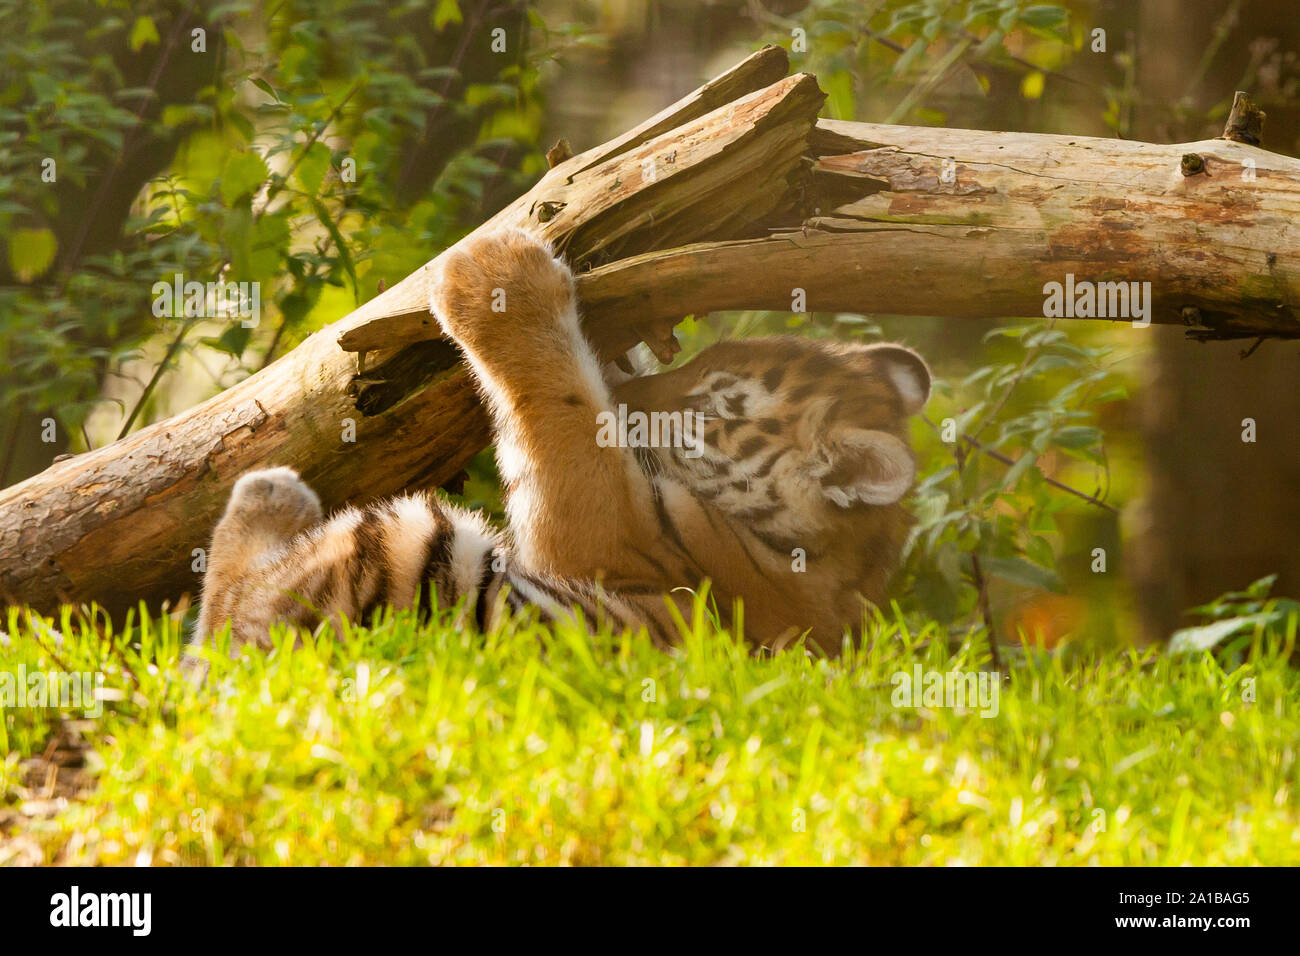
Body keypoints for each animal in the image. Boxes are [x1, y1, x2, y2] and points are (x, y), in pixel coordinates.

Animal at [192, 228, 931, 658]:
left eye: (707, 405)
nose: (633, 395)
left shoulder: (601, 531)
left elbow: (567, 408)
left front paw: (491, 269)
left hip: (414, 546)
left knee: (233, 611)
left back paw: (270, 495)